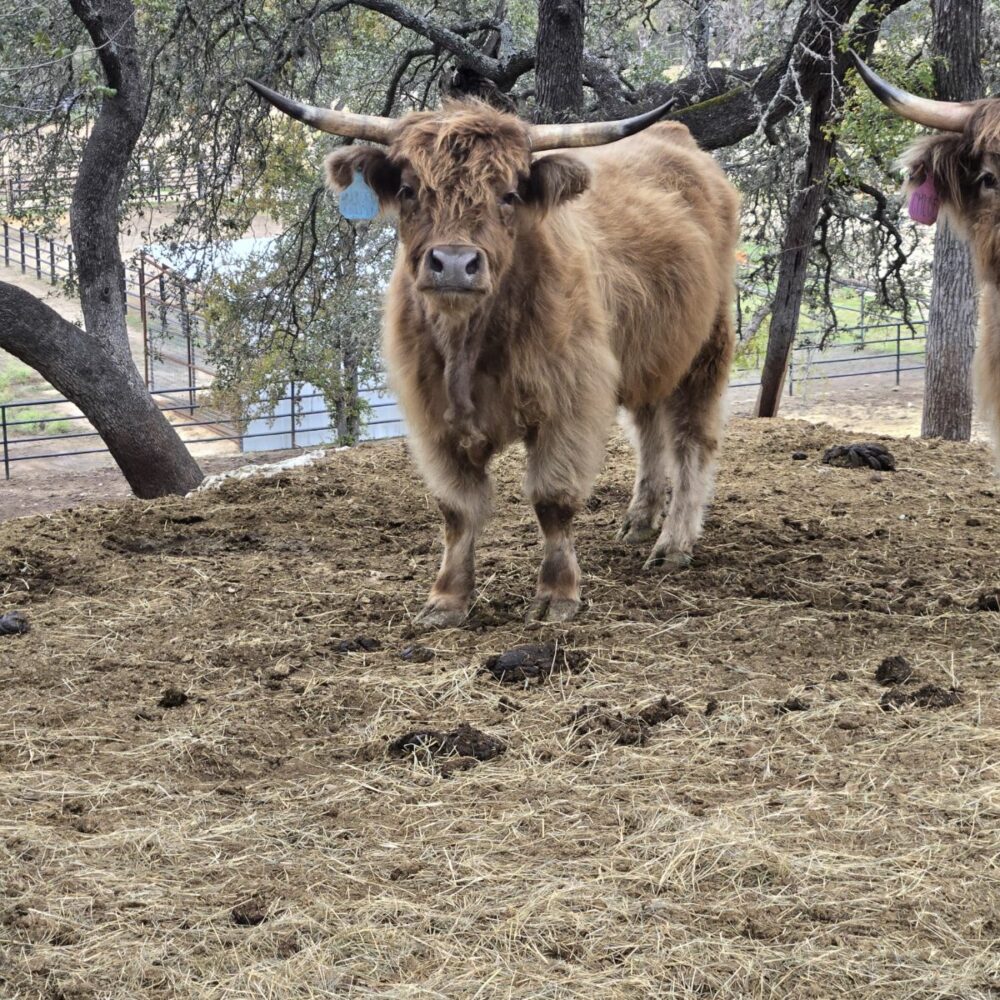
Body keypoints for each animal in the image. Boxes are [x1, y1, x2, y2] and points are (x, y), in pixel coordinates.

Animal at [247, 80, 740, 626]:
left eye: (508, 195)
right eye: (409, 190)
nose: (453, 264)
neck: (470, 345)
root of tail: (676, 137)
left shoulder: (567, 403)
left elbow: (552, 500)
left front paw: (557, 594)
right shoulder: (431, 417)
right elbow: (457, 510)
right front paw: (447, 598)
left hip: (707, 345)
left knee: (692, 440)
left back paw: (673, 544)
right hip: (648, 354)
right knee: (649, 428)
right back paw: (638, 521)